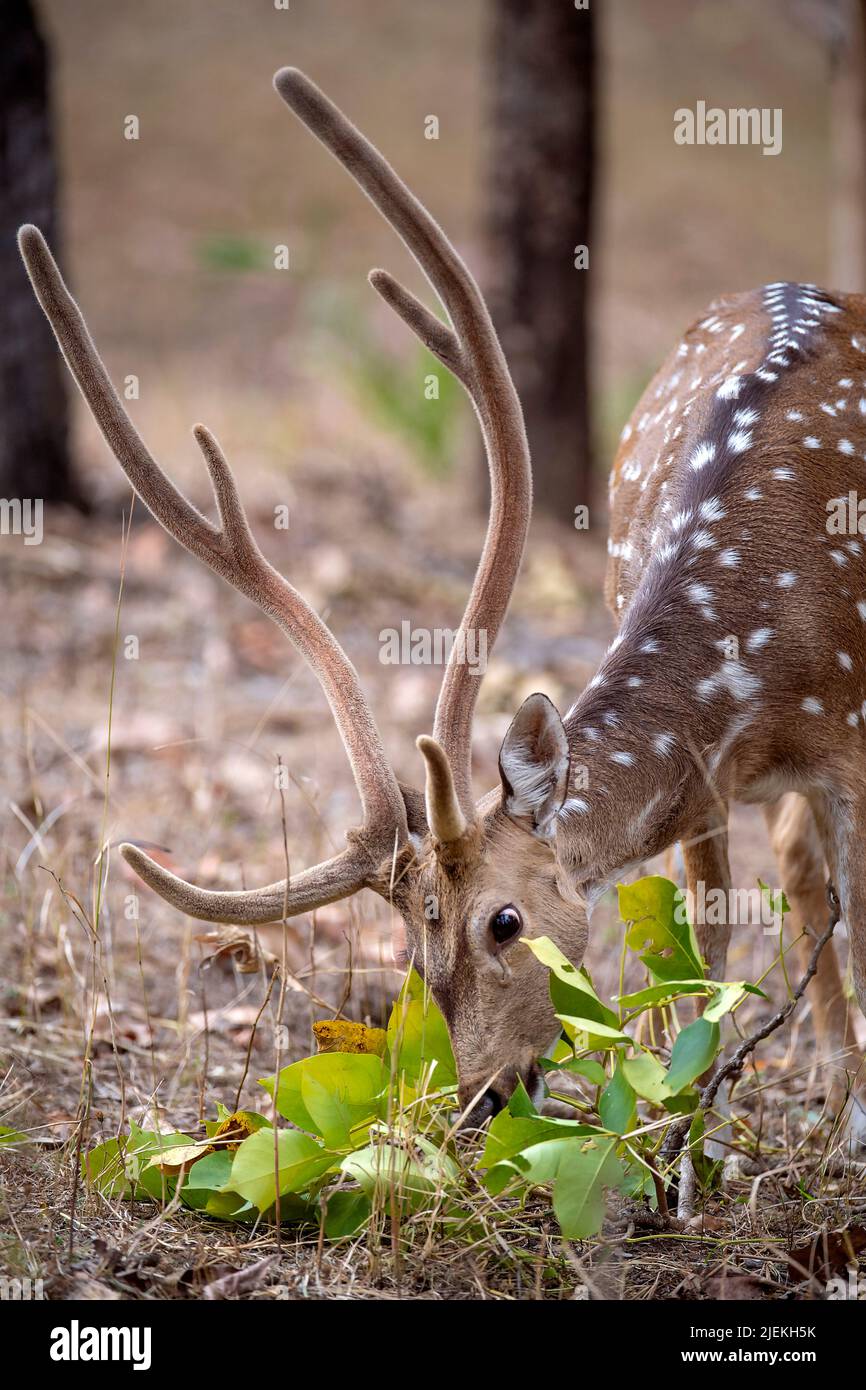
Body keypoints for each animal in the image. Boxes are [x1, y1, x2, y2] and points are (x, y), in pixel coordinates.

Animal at [19, 69, 866, 1145]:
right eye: (412, 954)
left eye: (502, 920)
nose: (478, 1102)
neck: (764, 654)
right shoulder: (708, 785)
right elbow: (698, 959)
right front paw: (679, 1135)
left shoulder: (850, 741)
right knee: (794, 858)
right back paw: (829, 1087)